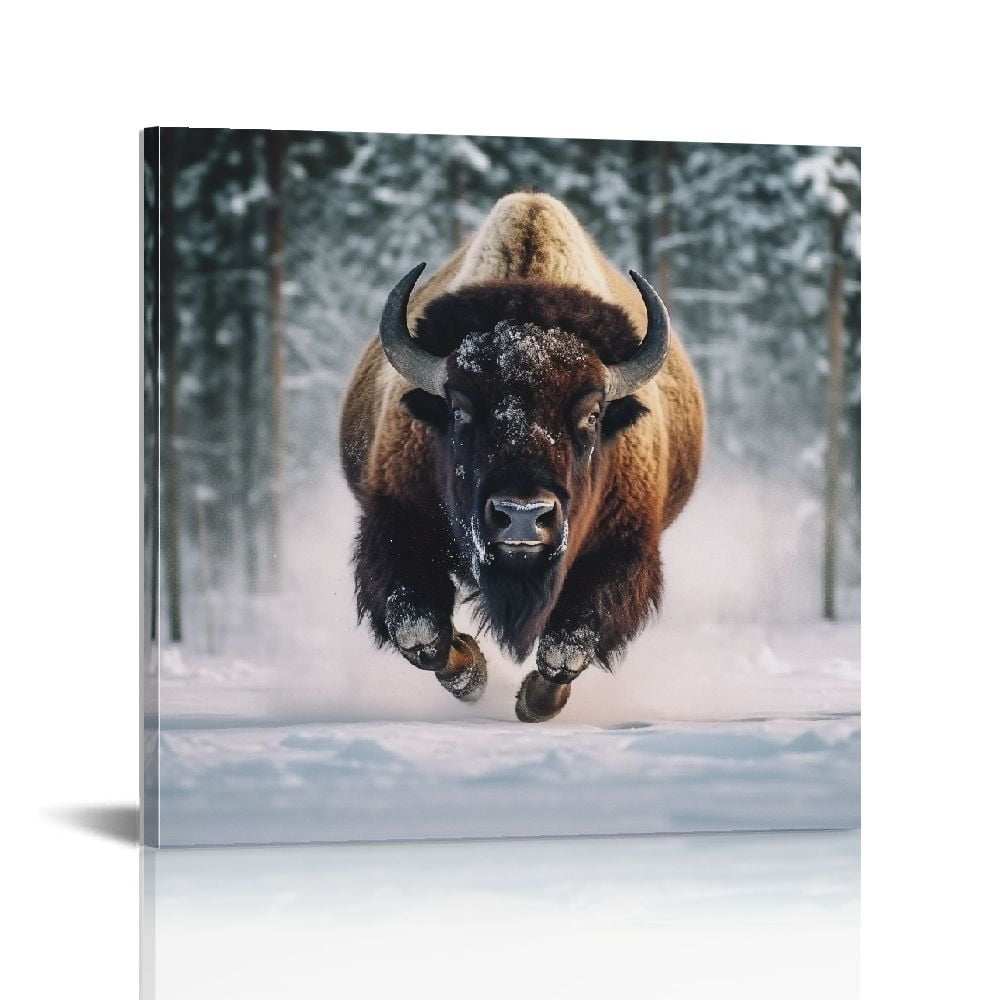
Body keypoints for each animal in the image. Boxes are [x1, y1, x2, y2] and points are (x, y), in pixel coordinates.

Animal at [340, 192, 705, 721]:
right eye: (459, 409)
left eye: (592, 414)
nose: (522, 517)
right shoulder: (397, 523)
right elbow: (418, 629)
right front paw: (473, 672)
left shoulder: (623, 548)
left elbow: (567, 646)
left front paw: (533, 702)